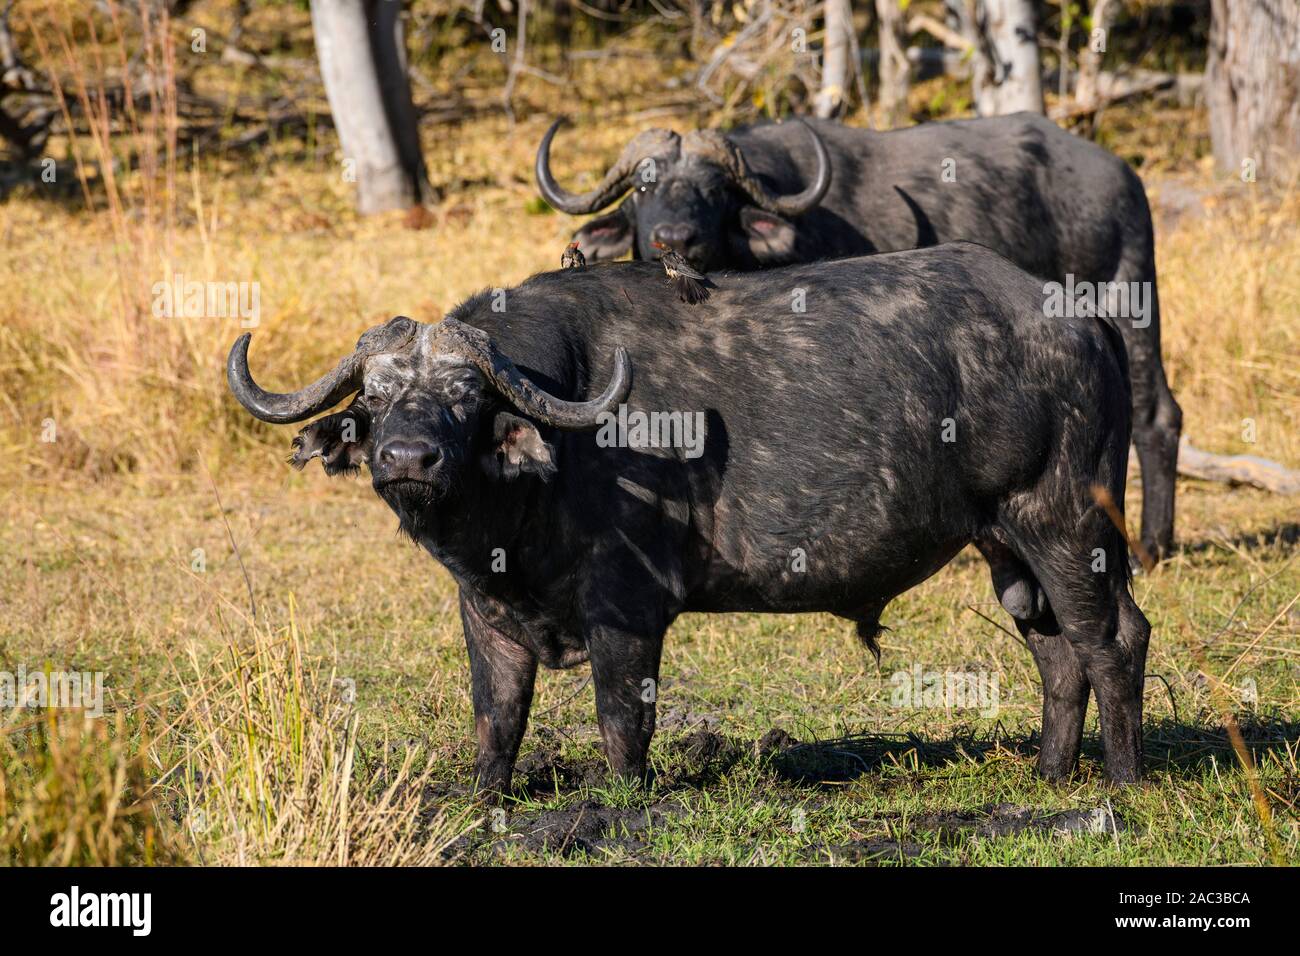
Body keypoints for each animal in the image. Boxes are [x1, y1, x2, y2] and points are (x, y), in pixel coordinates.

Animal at [228, 243, 1150, 791]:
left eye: (463, 396)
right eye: (377, 398)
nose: (408, 459)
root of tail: (1079, 317)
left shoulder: (628, 610)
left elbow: (620, 719)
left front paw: (621, 801)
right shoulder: (483, 614)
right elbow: (497, 719)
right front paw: (490, 799)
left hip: (1065, 523)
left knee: (1112, 638)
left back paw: (1122, 780)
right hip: (1005, 543)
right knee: (1056, 652)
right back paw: (1049, 775)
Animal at [537, 113, 1183, 562]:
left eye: (715, 190)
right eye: (643, 189)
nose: (674, 238)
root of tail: (1120, 174)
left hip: (1128, 300)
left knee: (1158, 415)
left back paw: (1151, 545)